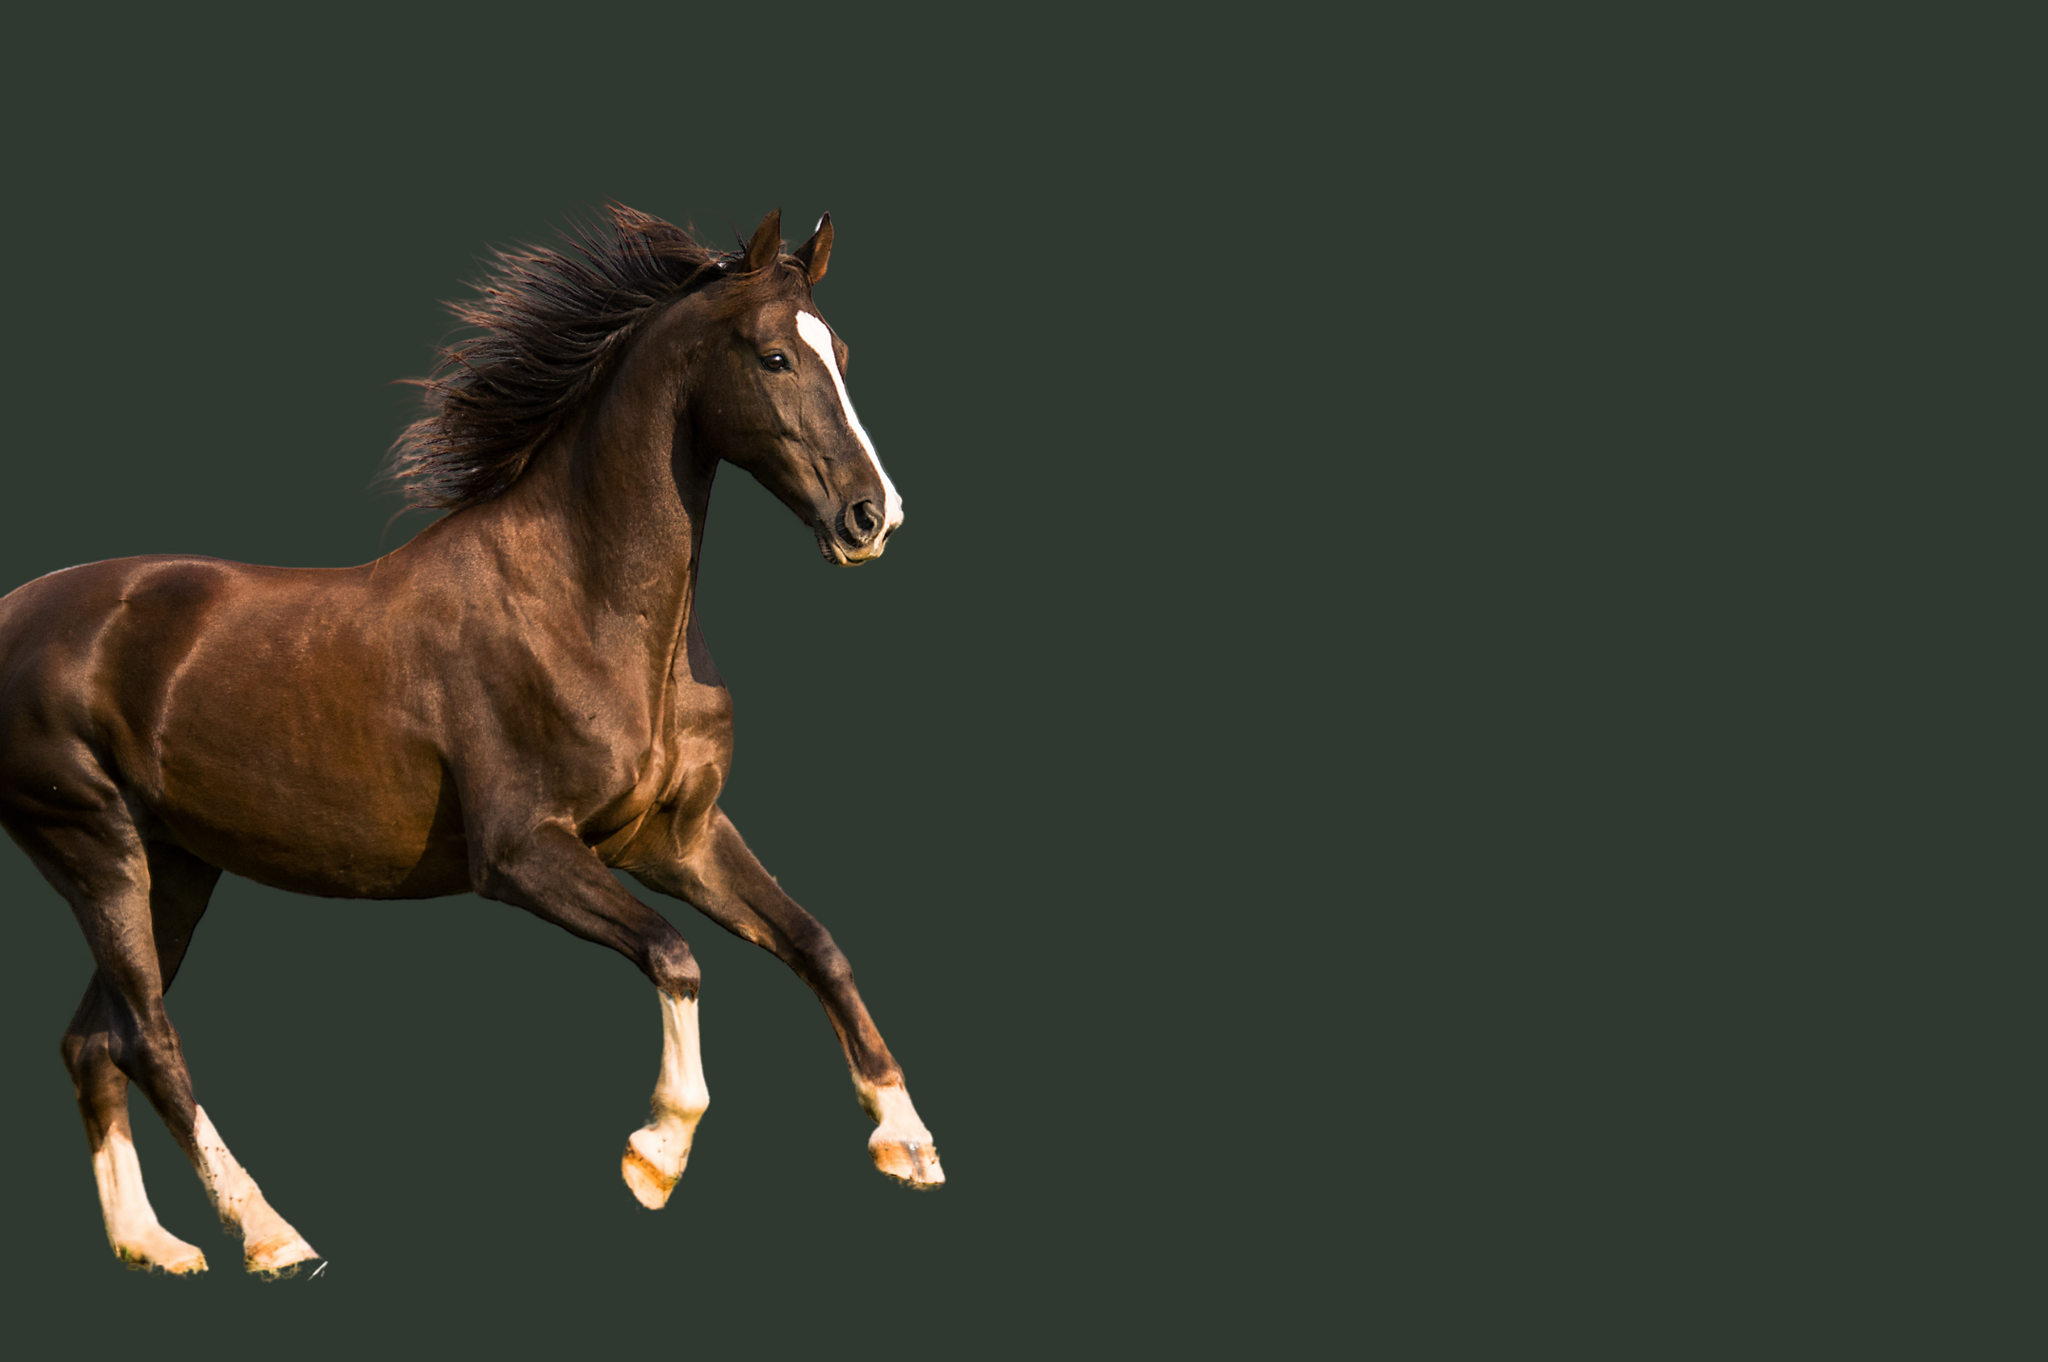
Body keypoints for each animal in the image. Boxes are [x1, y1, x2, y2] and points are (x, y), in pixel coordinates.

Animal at [0, 204, 942, 1277]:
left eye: (844, 354)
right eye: (775, 355)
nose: (872, 517)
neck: (583, 606)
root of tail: (15, 612)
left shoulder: (679, 838)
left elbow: (817, 944)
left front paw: (907, 1141)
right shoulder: (521, 853)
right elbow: (676, 958)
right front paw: (656, 1154)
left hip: (178, 869)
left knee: (93, 1041)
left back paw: (151, 1244)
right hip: (94, 846)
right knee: (149, 1038)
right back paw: (270, 1234)